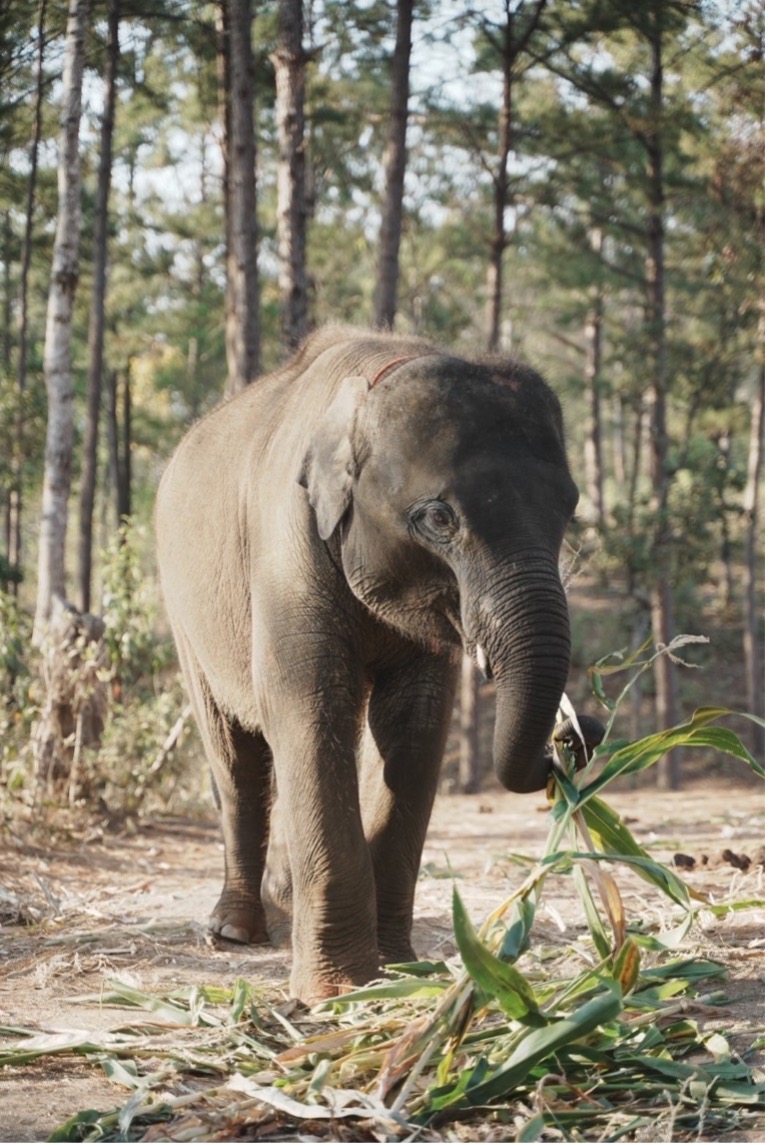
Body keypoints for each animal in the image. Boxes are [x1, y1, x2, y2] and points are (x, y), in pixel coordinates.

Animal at [155, 326, 601, 1004]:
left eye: (568, 511)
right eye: (438, 518)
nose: (575, 739)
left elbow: (414, 729)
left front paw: (398, 970)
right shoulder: (287, 544)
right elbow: (308, 709)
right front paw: (337, 990)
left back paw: (285, 904)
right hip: (184, 613)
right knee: (236, 759)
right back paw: (233, 930)